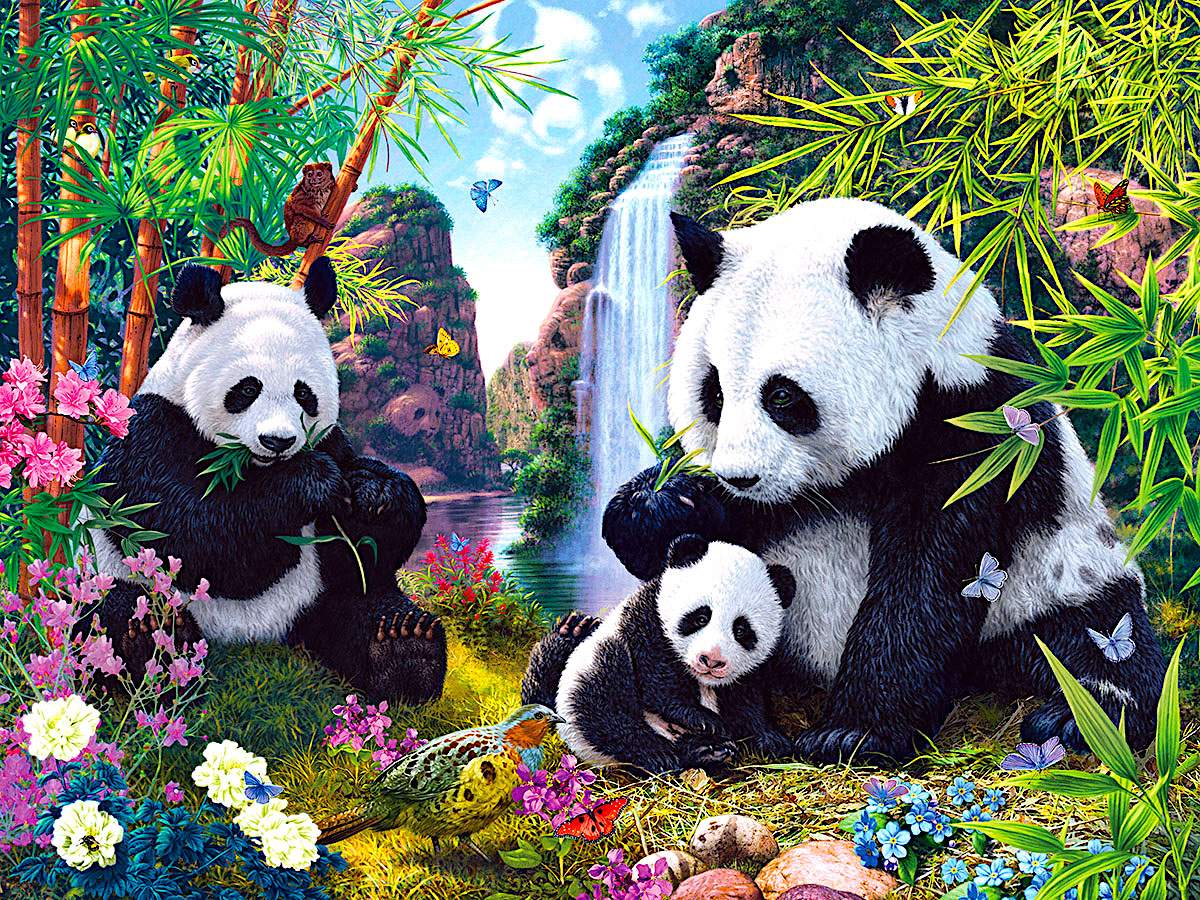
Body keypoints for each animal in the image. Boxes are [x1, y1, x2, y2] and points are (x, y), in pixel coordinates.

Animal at [89, 258, 446, 704]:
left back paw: (403, 651)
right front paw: (311, 483)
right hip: (112, 581)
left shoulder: (330, 440)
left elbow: (367, 551)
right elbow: (192, 534)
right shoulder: (149, 434)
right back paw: (149, 645)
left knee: (359, 604)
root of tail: (267, 638)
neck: (253, 467)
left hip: (315, 596)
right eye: (247, 389)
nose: (278, 441)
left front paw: (375, 492)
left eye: (304, 394)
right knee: (116, 611)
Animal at [521, 535, 796, 773]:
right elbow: (657, 680)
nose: (711, 660)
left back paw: (705, 751)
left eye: (741, 629)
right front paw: (704, 719)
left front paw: (771, 739)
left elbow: (747, 699)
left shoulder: (747, 671)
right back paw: (661, 754)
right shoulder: (646, 619)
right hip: (590, 674)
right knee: (604, 704)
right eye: (701, 617)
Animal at [602, 198, 1168, 763]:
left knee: (1094, 639)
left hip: (1060, 574)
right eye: (714, 392)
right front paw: (662, 502)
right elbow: (685, 549)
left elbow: (929, 569)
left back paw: (1079, 716)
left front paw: (853, 733)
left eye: (782, 396)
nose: (739, 476)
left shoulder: (980, 426)